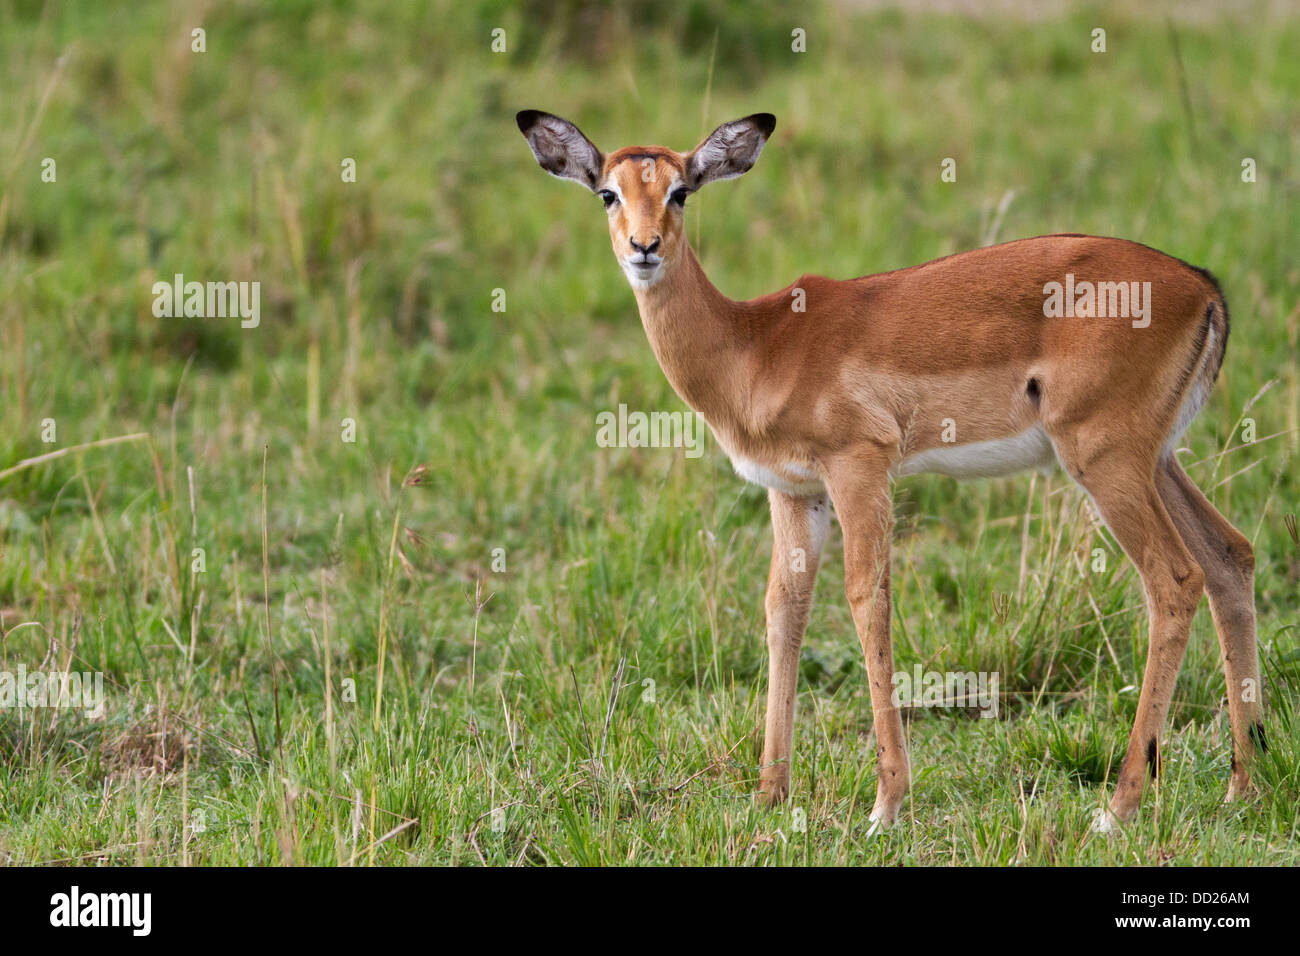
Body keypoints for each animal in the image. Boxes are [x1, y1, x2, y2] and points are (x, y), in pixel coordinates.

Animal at [516, 109, 1263, 832]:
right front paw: (769, 797)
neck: (756, 345)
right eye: (608, 192)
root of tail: (1202, 286)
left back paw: (1119, 808)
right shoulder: (794, 492)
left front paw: (886, 804)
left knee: (1174, 580)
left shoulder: (860, 467)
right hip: (1155, 460)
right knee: (1231, 556)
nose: (644, 247)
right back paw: (1240, 789)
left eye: (679, 190)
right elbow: (784, 609)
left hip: (1104, 459)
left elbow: (865, 599)